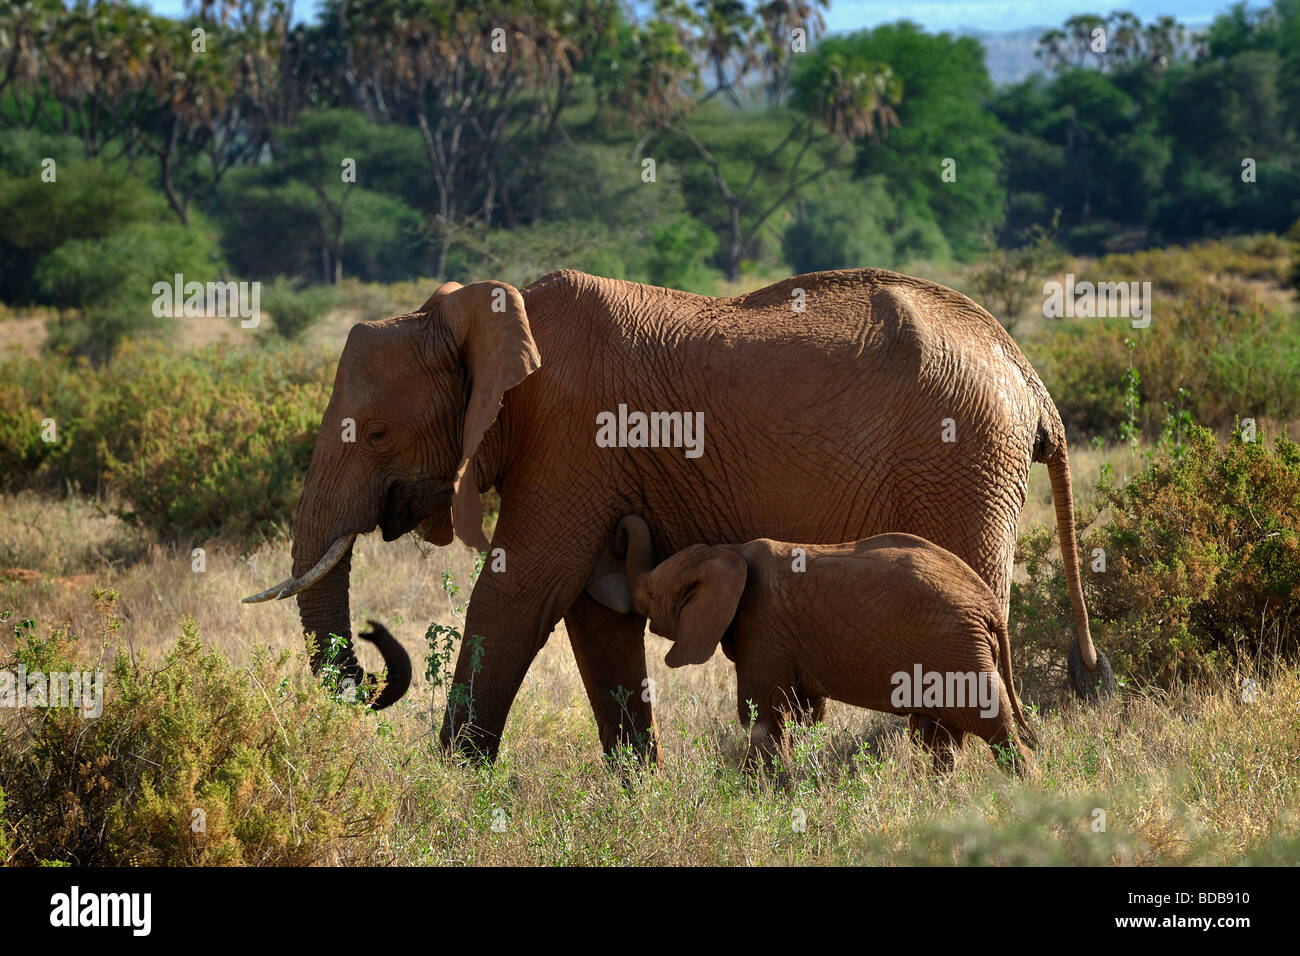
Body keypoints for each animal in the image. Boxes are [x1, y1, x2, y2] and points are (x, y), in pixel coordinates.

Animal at [609, 515, 1038, 777]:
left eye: (652, 593)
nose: (617, 533)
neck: (729, 552)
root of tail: (990, 605)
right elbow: (799, 713)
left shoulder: (762, 627)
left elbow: (761, 713)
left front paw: (758, 792)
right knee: (944, 739)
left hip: (958, 648)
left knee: (992, 724)